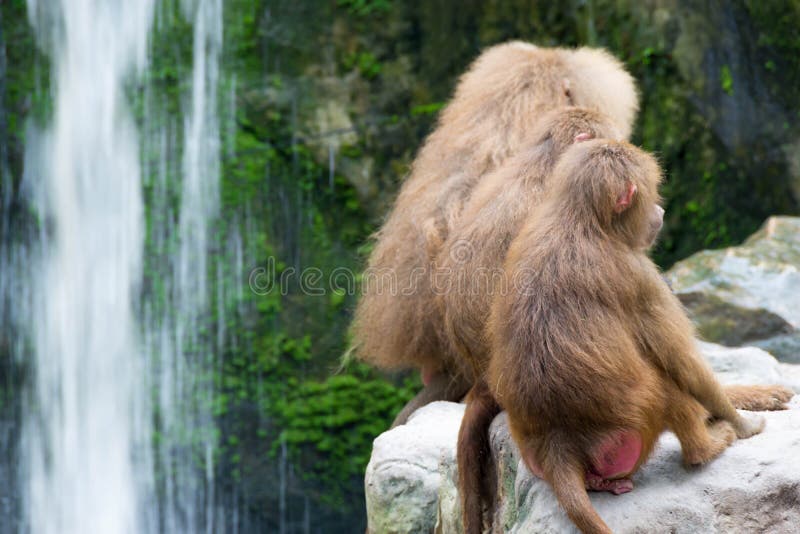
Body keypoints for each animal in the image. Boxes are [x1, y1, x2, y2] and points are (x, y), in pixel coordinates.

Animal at [481, 139, 772, 534]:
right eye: (650, 195)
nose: (660, 211)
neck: (579, 219)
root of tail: (556, 445)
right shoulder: (639, 274)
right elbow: (685, 364)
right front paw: (743, 423)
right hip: (633, 424)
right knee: (666, 388)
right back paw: (707, 447)